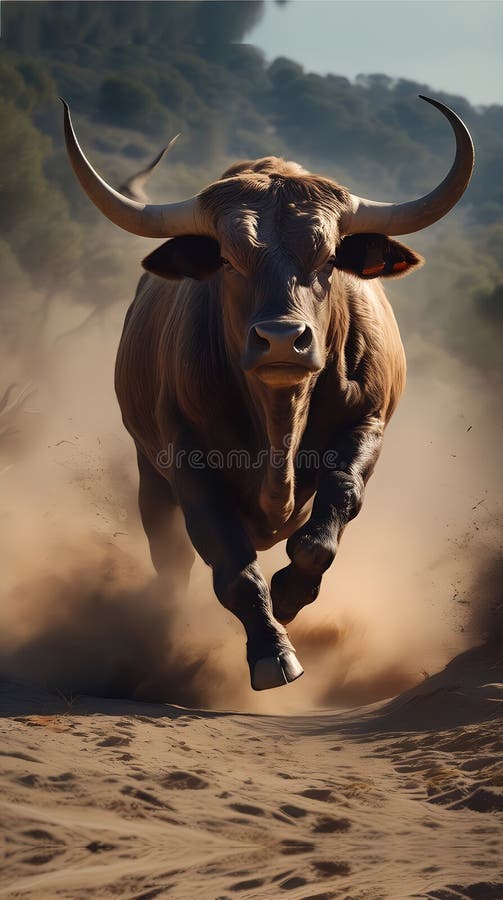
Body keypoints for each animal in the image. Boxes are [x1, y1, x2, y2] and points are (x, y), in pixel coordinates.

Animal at [62, 96, 474, 691]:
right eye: (229, 261)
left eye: (327, 259)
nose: (282, 338)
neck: (280, 418)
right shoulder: (186, 457)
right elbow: (230, 564)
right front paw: (270, 651)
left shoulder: (366, 426)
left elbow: (326, 524)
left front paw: (289, 596)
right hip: (149, 476)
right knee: (170, 559)